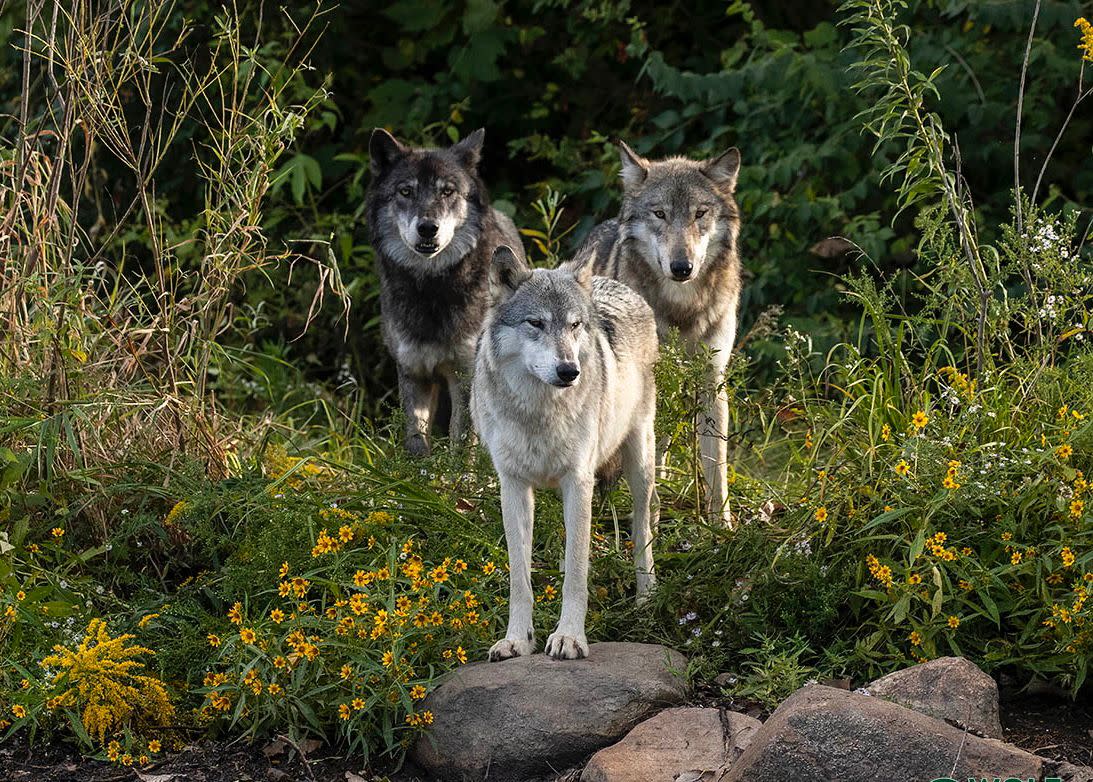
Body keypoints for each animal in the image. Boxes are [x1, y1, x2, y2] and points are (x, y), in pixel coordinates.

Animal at [366, 128, 524, 456]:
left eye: (447, 191)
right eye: (405, 192)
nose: (428, 227)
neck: (431, 289)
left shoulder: (464, 375)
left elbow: (461, 441)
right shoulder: (413, 373)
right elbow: (415, 439)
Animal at [472, 246, 659, 660]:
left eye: (574, 325)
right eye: (535, 323)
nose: (569, 370)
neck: (539, 413)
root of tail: (613, 282)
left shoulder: (579, 480)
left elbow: (577, 571)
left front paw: (569, 637)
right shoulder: (512, 486)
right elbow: (519, 576)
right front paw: (517, 639)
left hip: (639, 463)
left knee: (642, 525)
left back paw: (647, 596)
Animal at [575, 141, 743, 526]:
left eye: (699, 213)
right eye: (660, 214)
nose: (682, 267)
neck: (681, 308)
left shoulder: (712, 380)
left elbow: (716, 464)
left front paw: (721, 524)